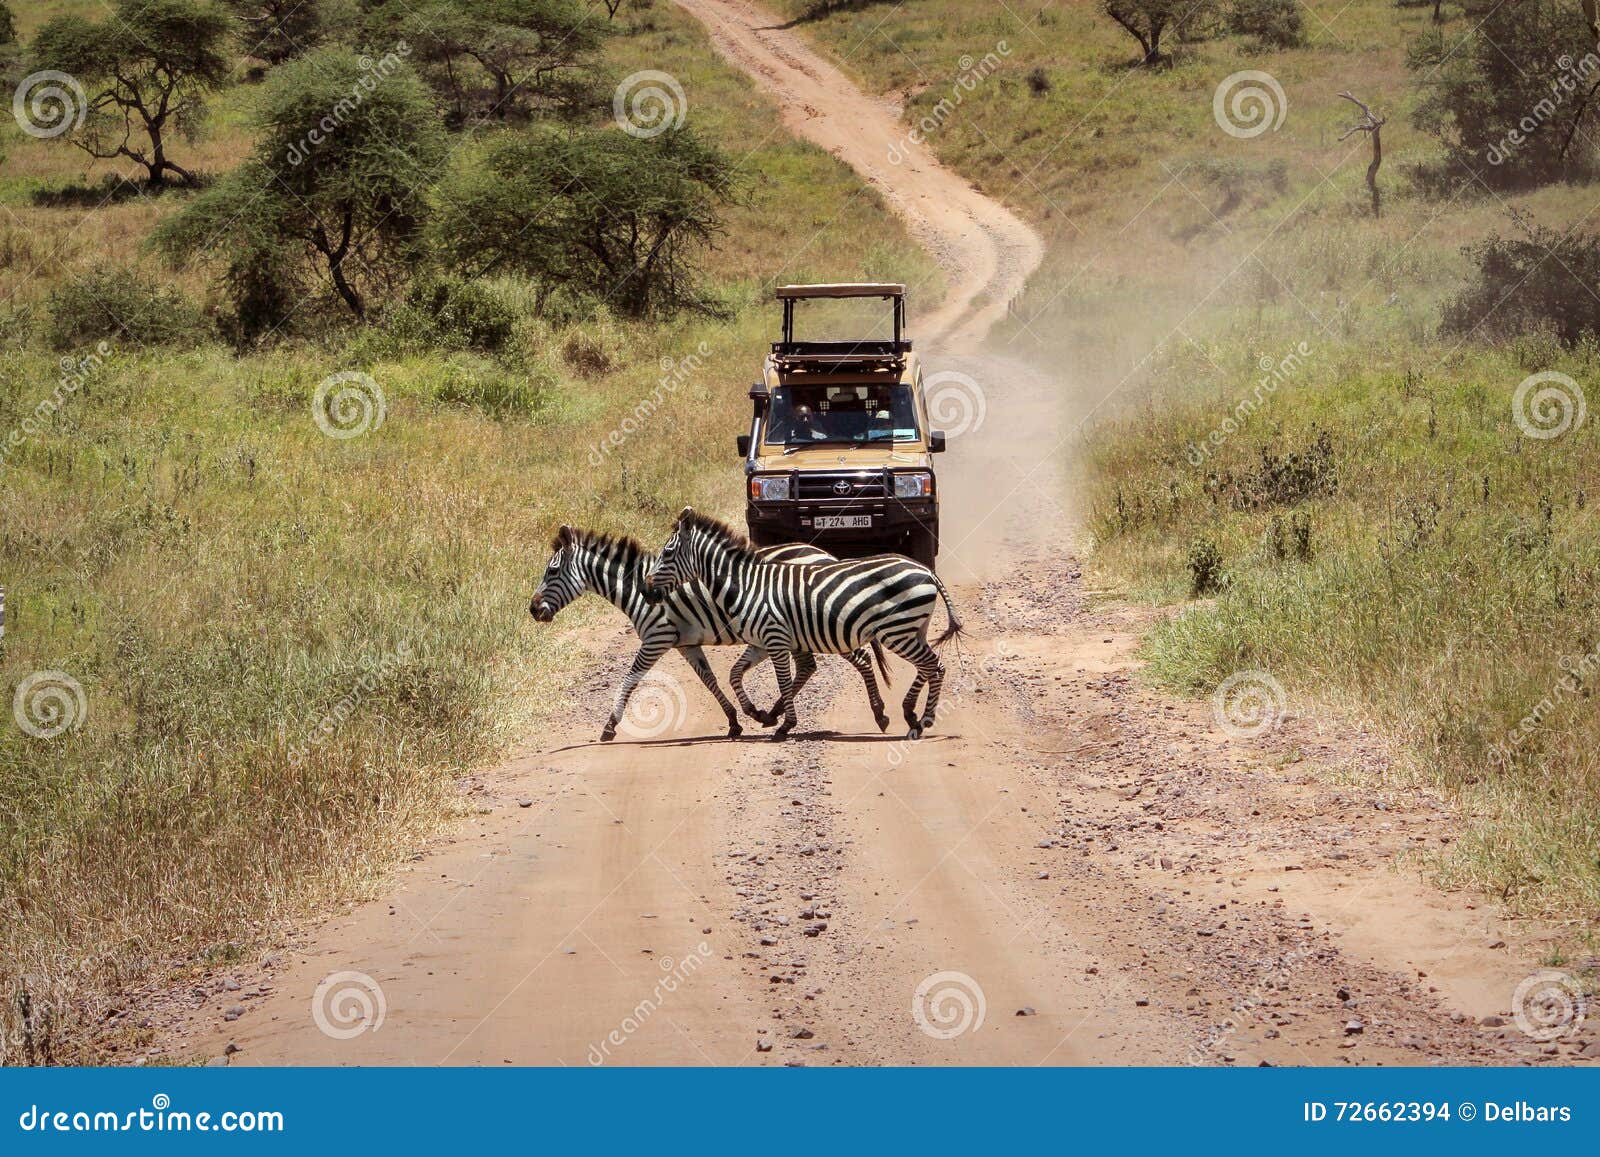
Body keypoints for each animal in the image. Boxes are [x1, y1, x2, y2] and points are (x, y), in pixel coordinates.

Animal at [529, 526, 892, 742]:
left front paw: (609, 726)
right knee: (808, 667)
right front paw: (735, 720)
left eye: (552, 571)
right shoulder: (685, 644)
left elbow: (631, 679)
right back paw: (775, 713)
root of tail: (826, 555)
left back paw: (878, 714)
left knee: (857, 658)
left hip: (823, 626)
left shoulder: (656, 638)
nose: (532, 610)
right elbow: (709, 679)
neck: (637, 592)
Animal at [645, 509, 963, 741]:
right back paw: (909, 715)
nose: (647, 588)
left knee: (934, 666)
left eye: (668, 554)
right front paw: (758, 713)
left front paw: (784, 726)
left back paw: (922, 720)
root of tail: (925, 570)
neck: (746, 586)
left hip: (897, 630)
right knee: (929, 667)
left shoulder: (775, 638)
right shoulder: (760, 642)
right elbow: (735, 674)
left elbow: (784, 681)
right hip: (913, 628)